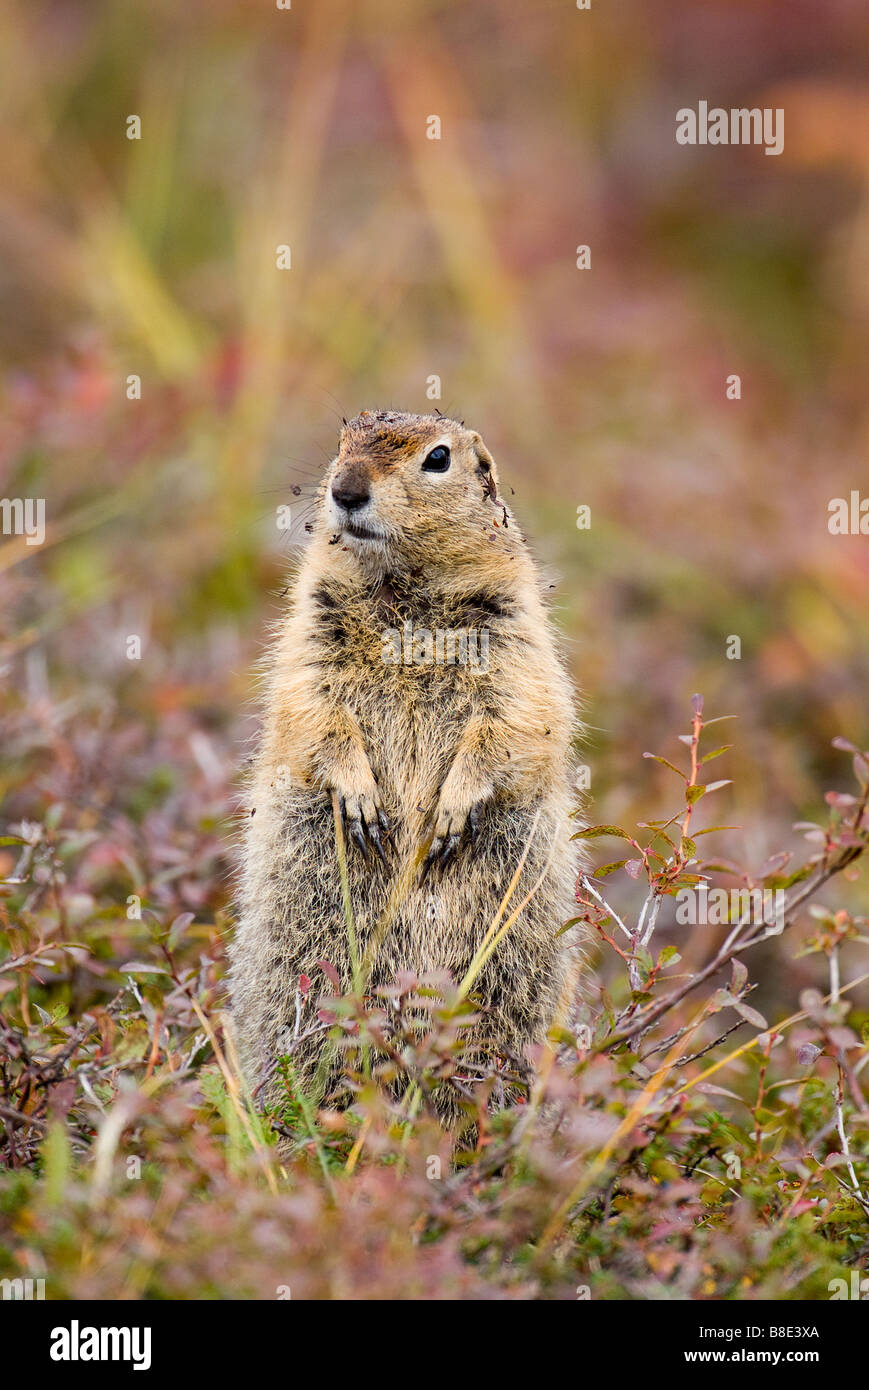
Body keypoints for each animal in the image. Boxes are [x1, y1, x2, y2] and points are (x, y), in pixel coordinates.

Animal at [229, 410, 584, 1125]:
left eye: (438, 458)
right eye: (342, 441)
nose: (345, 489)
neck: (405, 591)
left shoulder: (515, 631)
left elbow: (516, 714)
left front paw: (450, 810)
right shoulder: (312, 626)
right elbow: (311, 704)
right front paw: (362, 799)